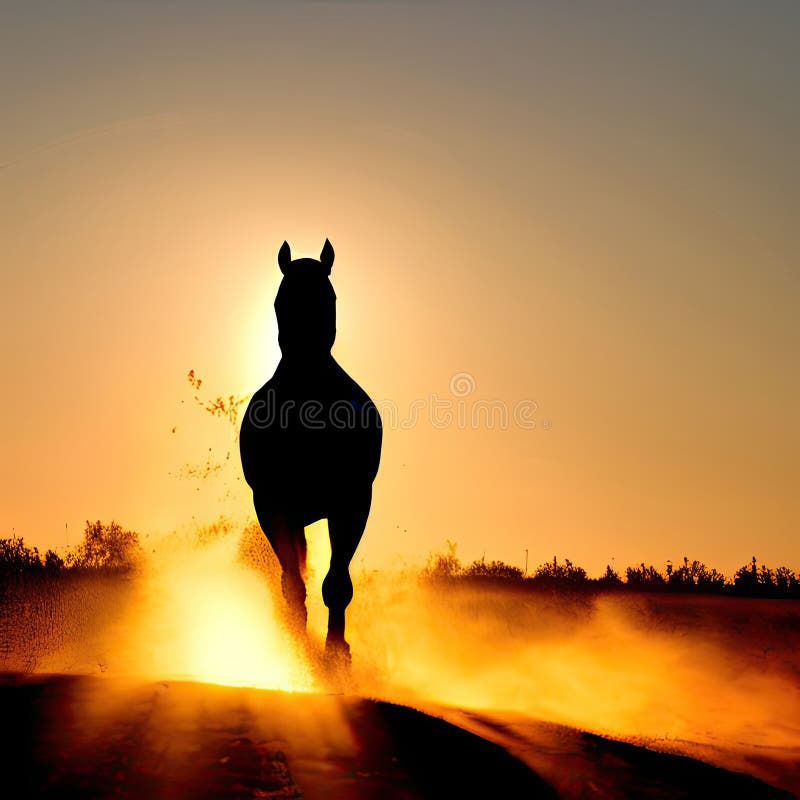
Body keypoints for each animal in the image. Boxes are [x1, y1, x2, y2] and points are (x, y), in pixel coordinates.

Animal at [239, 239, 382, 658]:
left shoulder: (352, 501)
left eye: (327, 296)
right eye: (281, 300)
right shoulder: (271, 503)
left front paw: (336, 651)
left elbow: (337, 583)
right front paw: (299, 649)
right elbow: (292, 581)